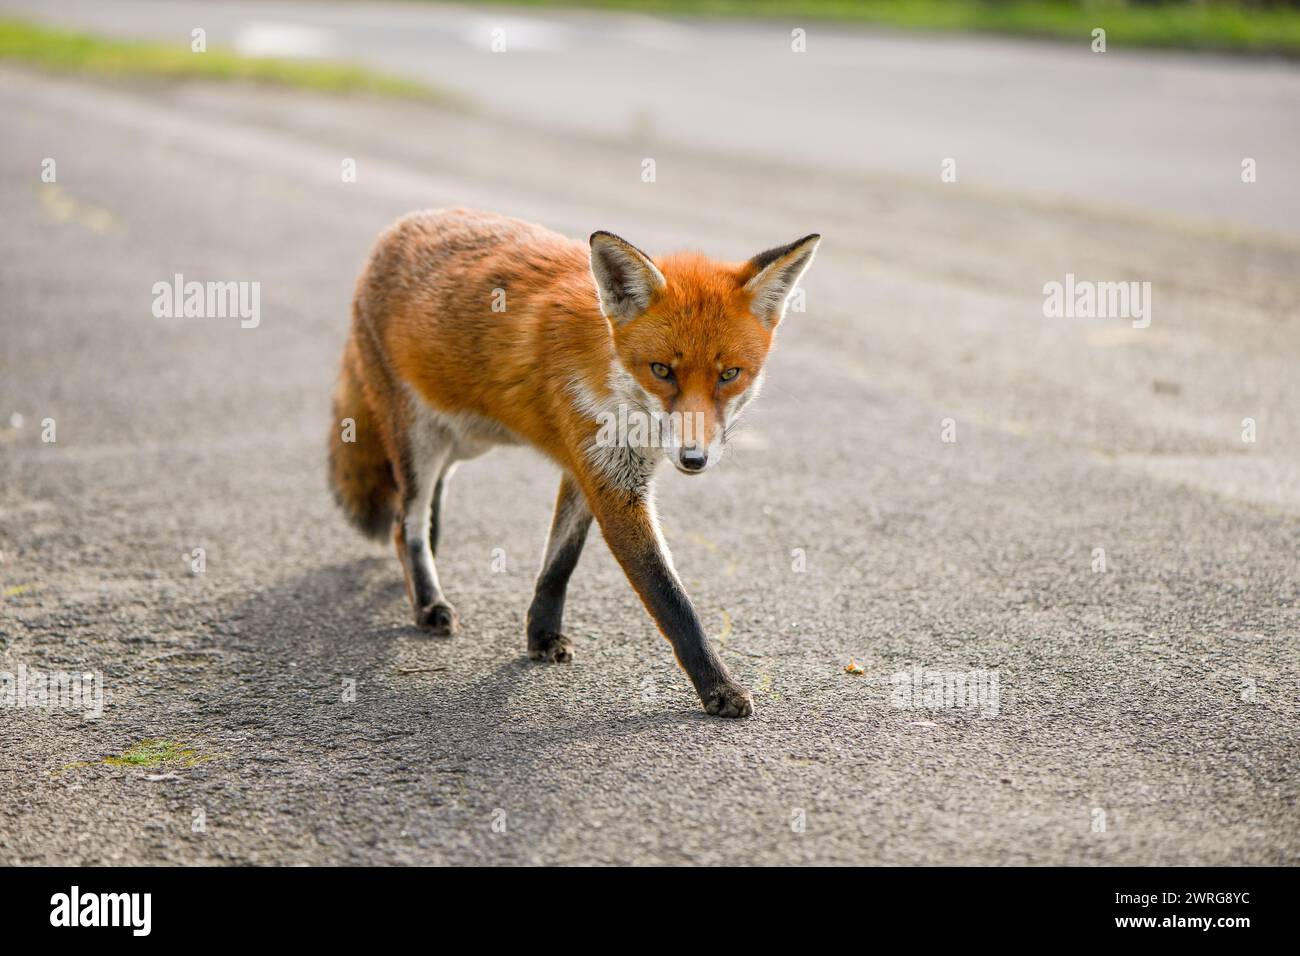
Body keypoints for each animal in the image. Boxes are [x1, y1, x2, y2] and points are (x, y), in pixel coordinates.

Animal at [329, 208, 819, 718]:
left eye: (729, 375)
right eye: (662, 370)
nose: (693, 458)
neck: (613, 385)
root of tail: (400, 226)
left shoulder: (587, 467)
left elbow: (560, 563)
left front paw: (541, 635)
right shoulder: (609, 482)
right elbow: (673, 602)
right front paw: (719, 687)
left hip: (464, 436)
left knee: (426, 504)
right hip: (420, 437)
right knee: (405, 521)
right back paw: (428, 602)